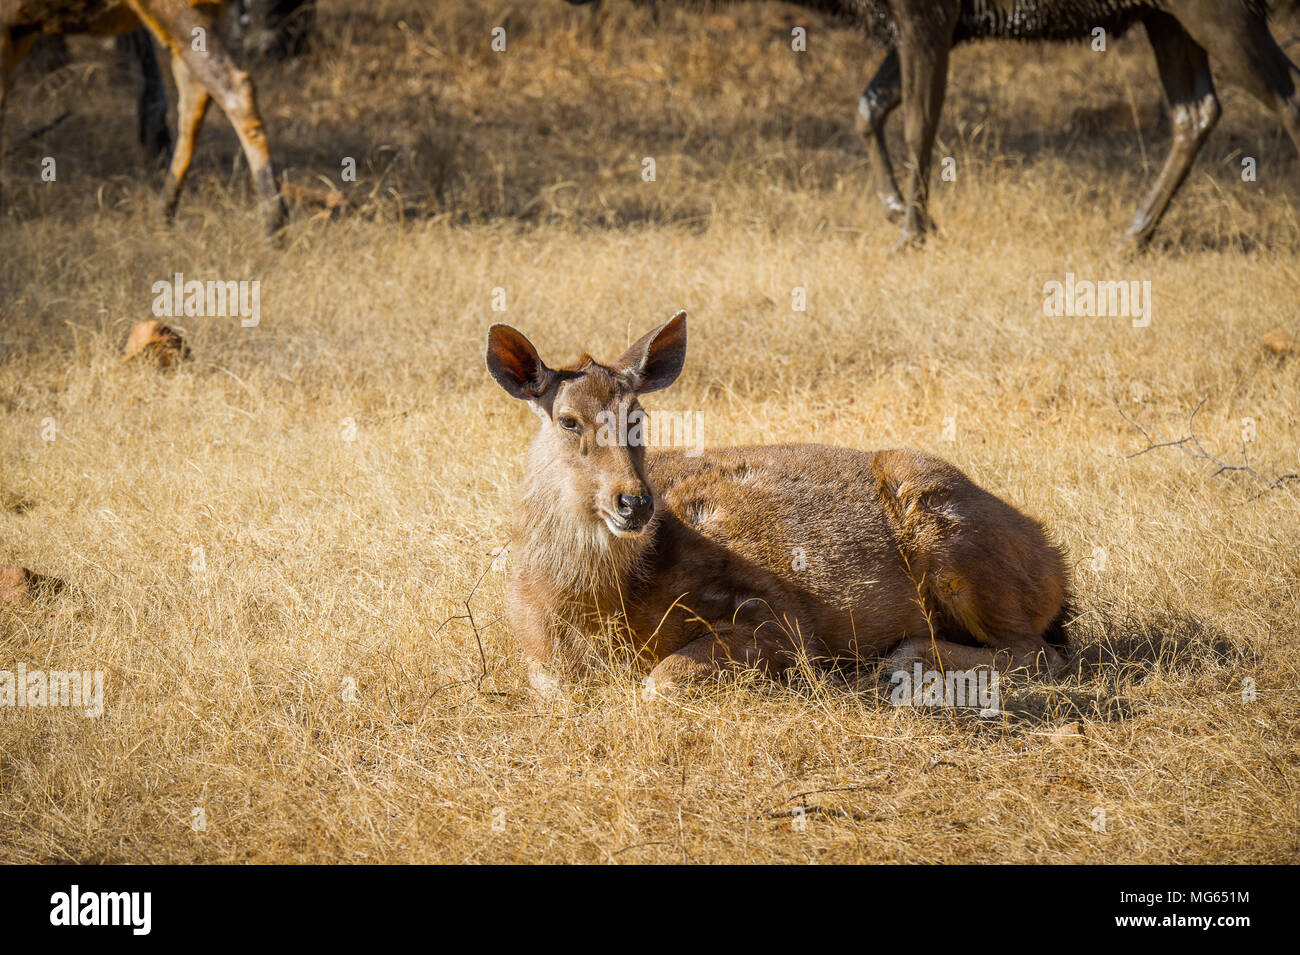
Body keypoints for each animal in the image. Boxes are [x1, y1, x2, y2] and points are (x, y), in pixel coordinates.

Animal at [486, 312, 1070, 699]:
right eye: (568, 420)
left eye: (639, 416)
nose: (634, 501)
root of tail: (1056, 562)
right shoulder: (537, 655)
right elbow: (552, 685)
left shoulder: (777, 616)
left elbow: (661, 680)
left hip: (956, 545)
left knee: (1040, 652)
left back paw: (899, 661)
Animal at [565, 1, 1300, 250]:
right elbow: (868, 108)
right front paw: (901, 211)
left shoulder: (927, 16)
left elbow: (919, 124)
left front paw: (913, 231)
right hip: (1168, 18)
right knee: (1195, 111)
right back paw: (1131, 236)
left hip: (1216, 11)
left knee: (1285, 94)